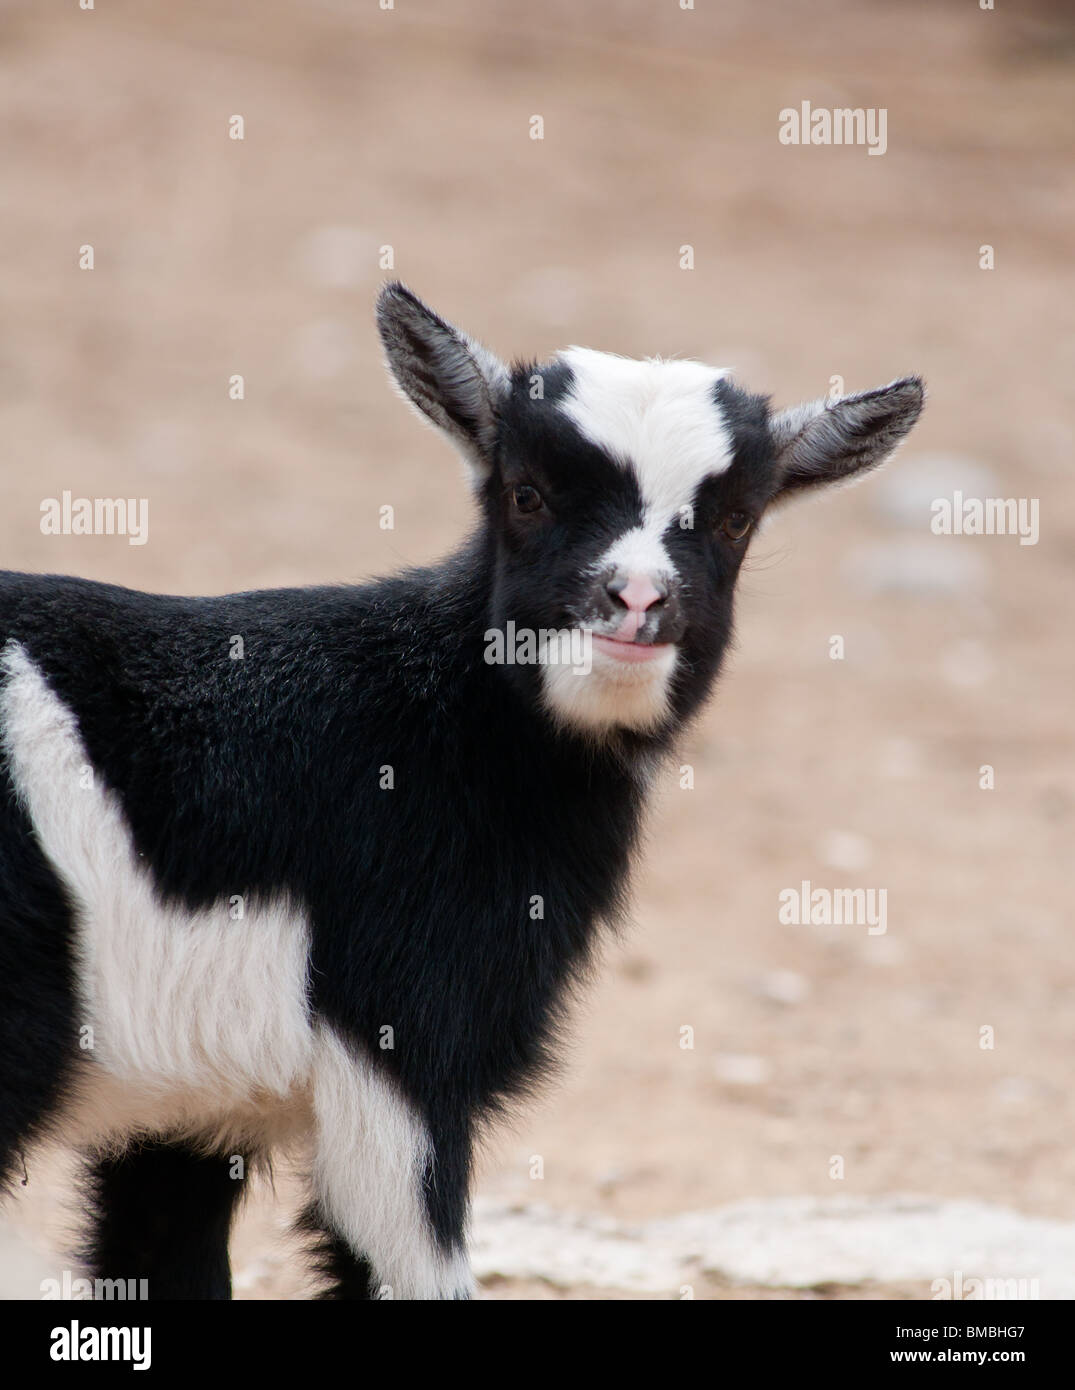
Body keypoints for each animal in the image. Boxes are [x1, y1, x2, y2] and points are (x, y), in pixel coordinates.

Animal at [0, 284, 923, 1298]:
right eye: (526, 493)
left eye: (734, 521)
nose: (637, 601)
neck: (442, 720)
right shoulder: (400, 1040)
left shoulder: (189, 1116)